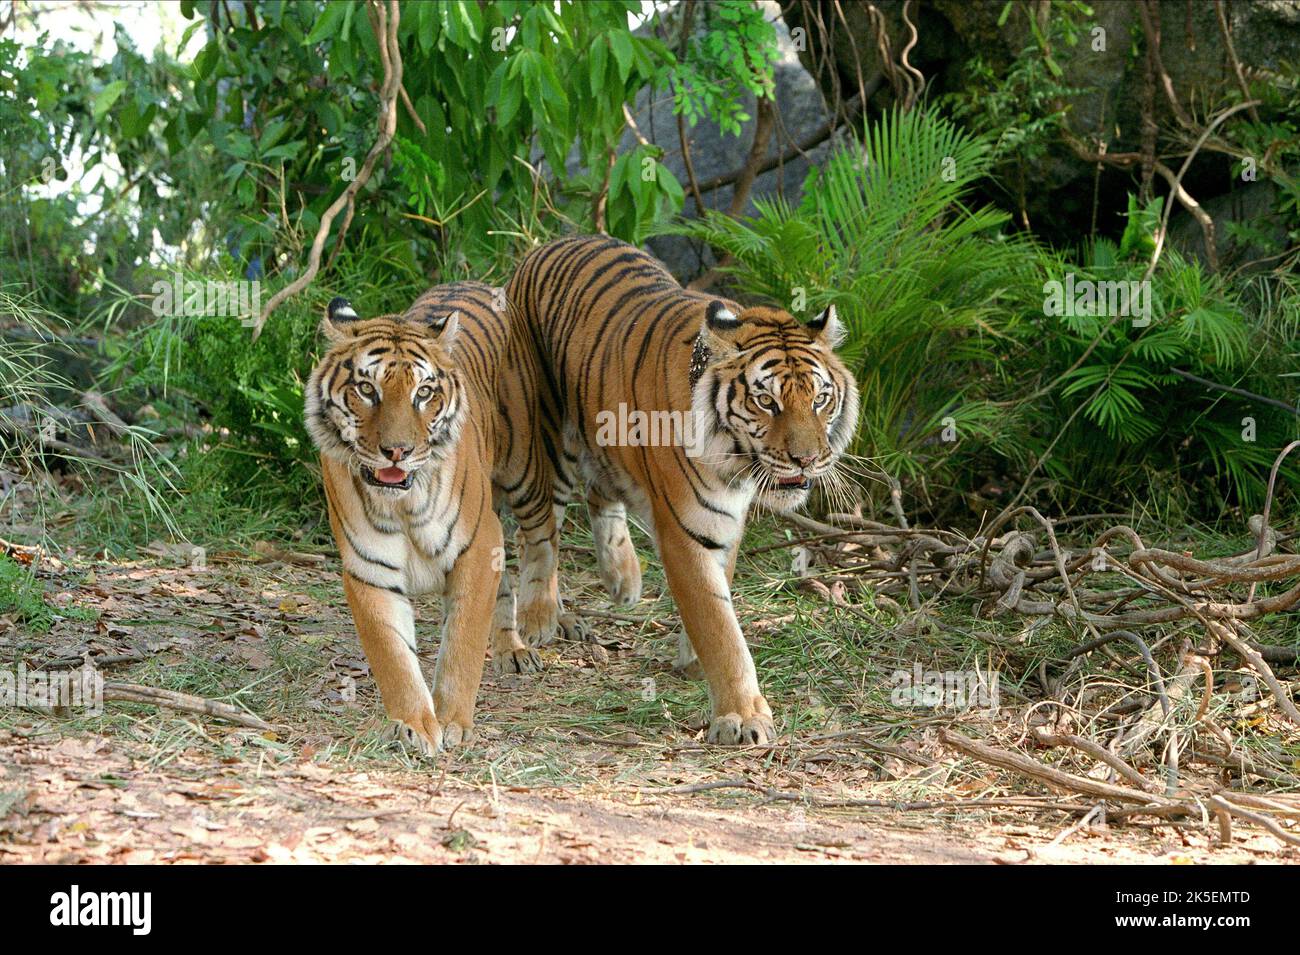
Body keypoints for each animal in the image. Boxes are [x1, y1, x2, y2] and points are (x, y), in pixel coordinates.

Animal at [304, 282, 567, 755]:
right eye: (366, 389)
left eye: (423, 393)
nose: (397, 451)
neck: (402, 502)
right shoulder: (370, 568)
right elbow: (392, 655)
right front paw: (414, 725)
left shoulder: (477, 548)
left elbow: (462, 642)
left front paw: (454, 723)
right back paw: (509, 648)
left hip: (523, 472)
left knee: (543, 537)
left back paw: (535, 625)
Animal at [506, 234, 860, 745]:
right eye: (766, 401)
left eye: (820, 400)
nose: (807, 459)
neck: (734, 465)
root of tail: (551, 242)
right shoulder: (685, 531)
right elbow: (720, 627)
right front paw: (743, 716)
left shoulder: (726, 521)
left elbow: (721, 593)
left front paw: (693, 658)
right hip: (548, 436)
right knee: (539, 530)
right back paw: (540, 619)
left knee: (599, 493)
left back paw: (622, 578)